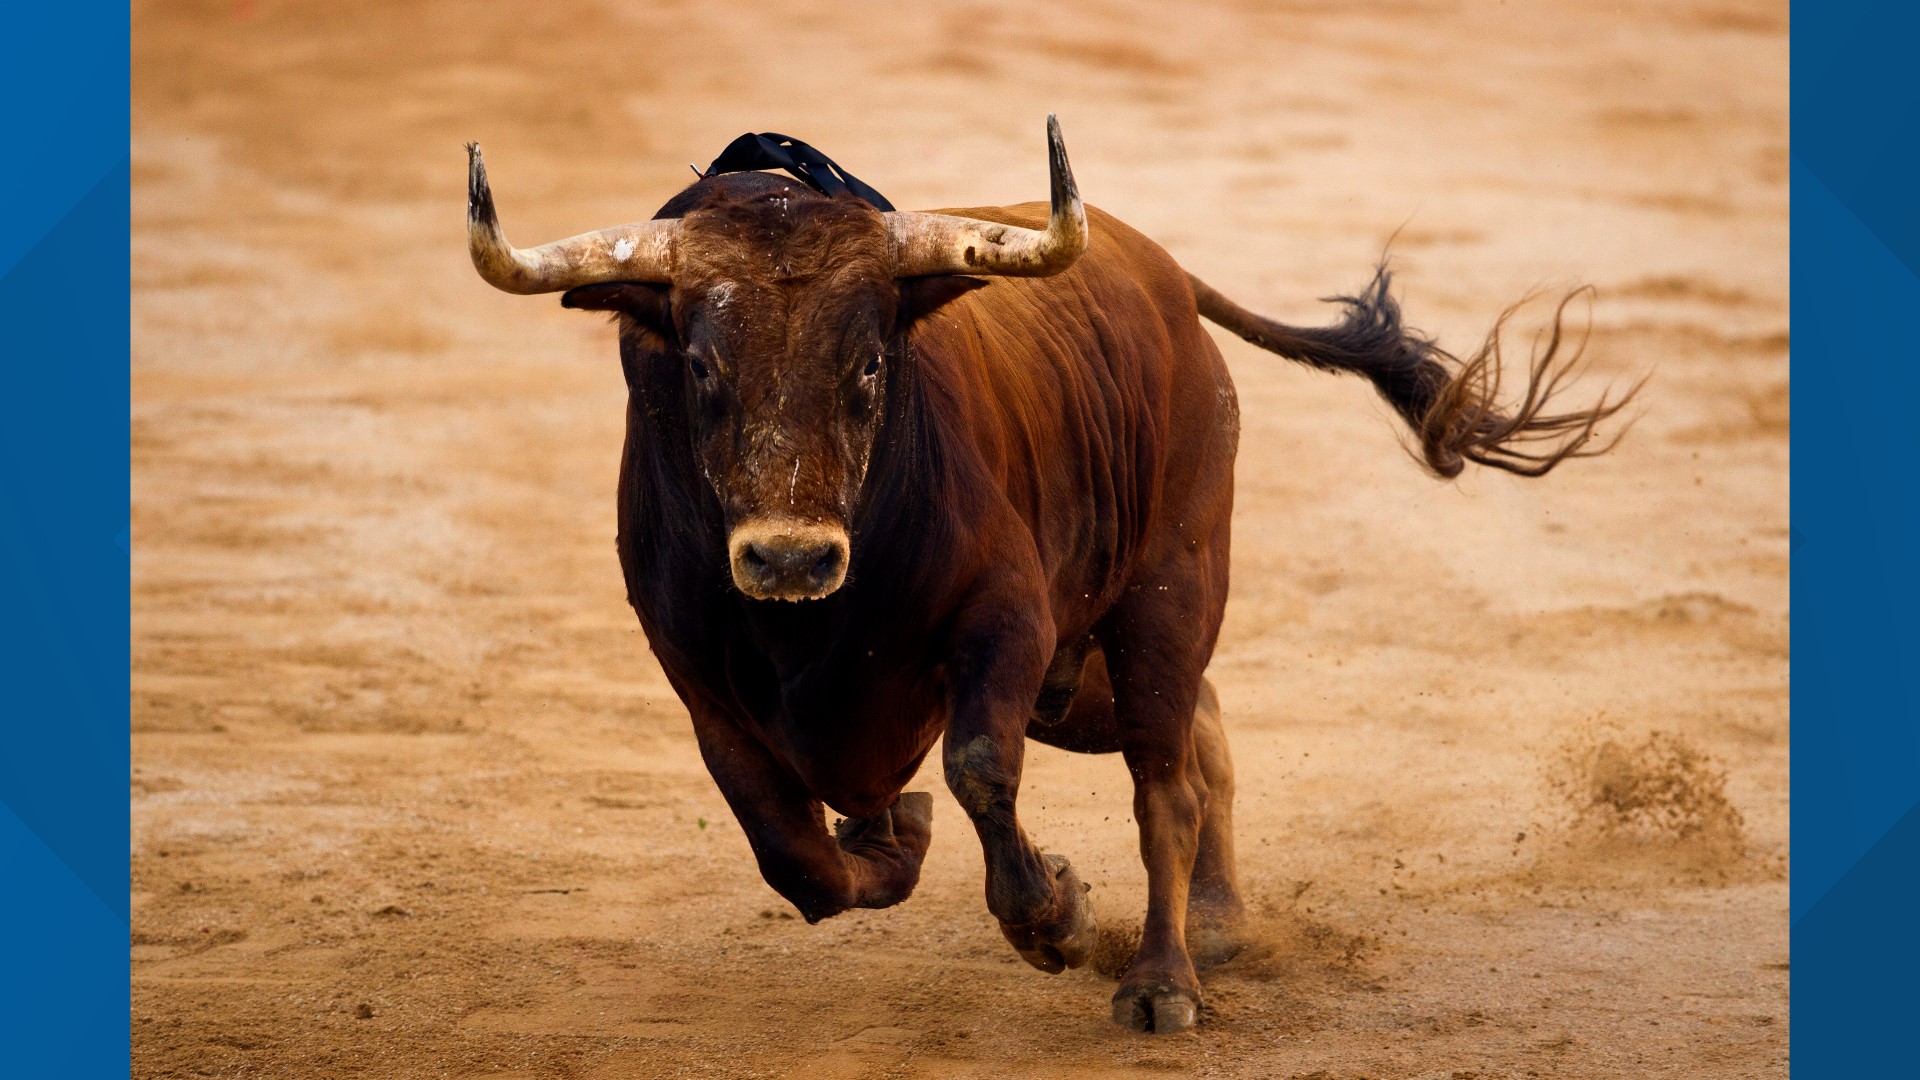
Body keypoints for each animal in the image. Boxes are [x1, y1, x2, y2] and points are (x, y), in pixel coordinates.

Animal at [464, 117, 1632, 1033]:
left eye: (871, 361)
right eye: (702, 366)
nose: (790, 558)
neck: (811, 630)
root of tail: (1167, 280)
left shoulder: (1007, 623)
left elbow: (980, 769)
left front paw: (1057, 916)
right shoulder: (699, 681)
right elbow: (794, 855)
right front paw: (896, 839)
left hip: (1167, 592)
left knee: (1166, 777)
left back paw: (1164, 979)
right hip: (1084, 678)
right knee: (1203, 731)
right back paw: (1218, 923)